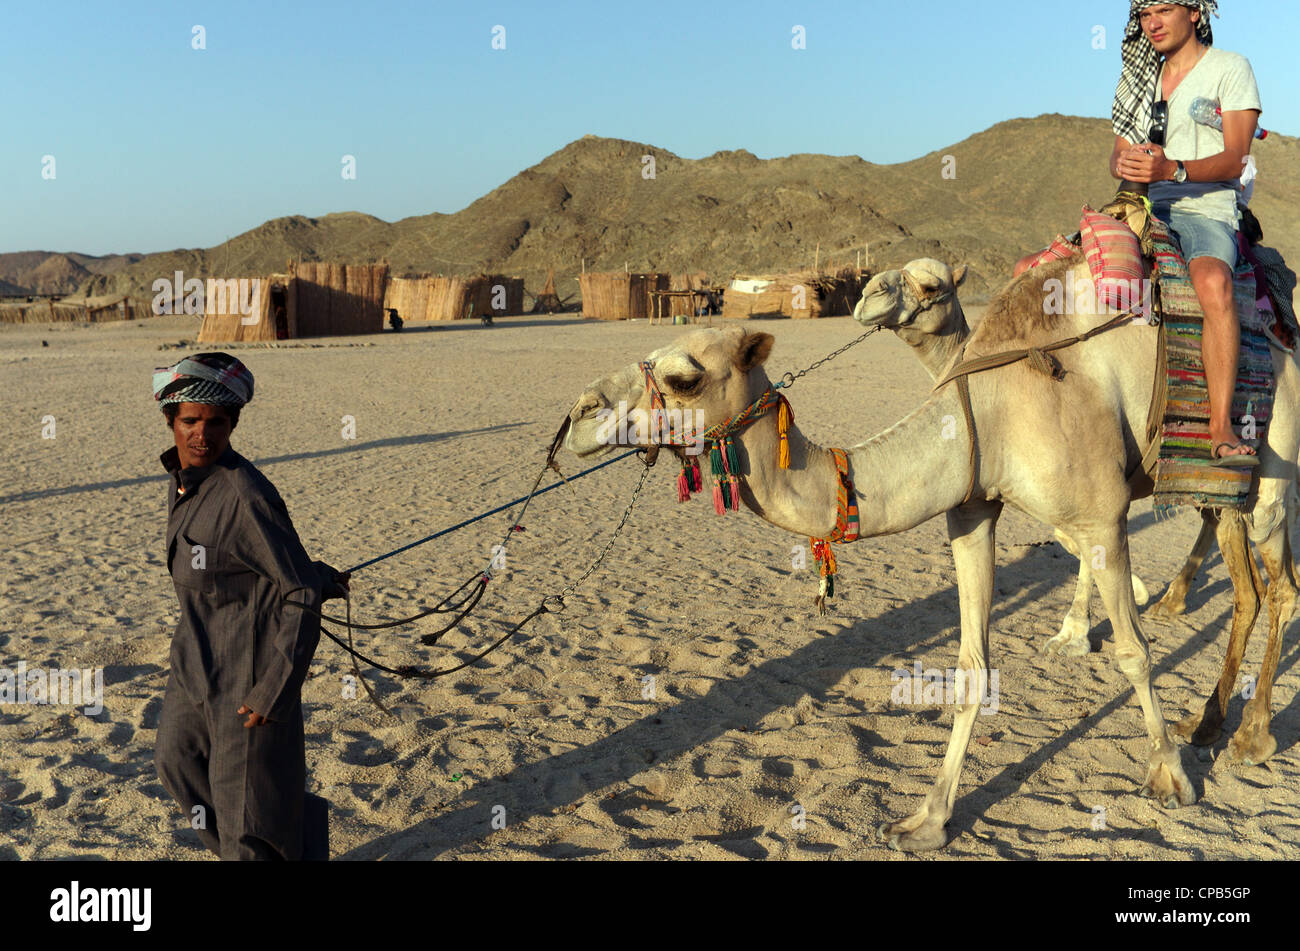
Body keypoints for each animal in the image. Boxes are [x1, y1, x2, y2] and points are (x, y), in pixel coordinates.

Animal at [562, 244, 1297, 849]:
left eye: (684, 377)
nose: (580, 413)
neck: (991, 407)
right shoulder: (970, 509)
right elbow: (972, 666)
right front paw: (927, 818)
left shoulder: (1101, 519)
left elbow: (1135, 654)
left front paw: (1170, 777)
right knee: (1248, 579)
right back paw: (1210, 721)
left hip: (1268, 454)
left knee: (1278, 581)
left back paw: (1251, 734)